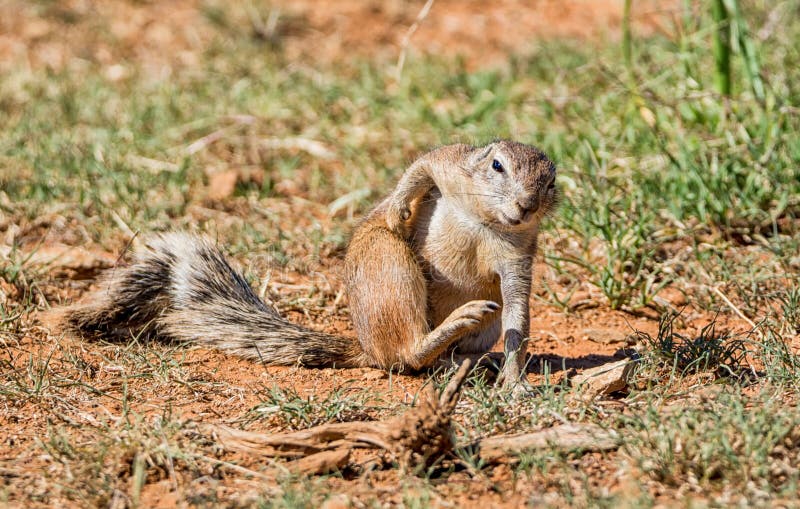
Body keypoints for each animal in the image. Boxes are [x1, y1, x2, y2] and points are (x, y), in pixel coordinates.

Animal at [61, 140, 557, 388]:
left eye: (551, 181)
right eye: (497, 166)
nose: (527, 205)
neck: (483, 221)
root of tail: (365, 347)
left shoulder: (516, 259)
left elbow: (518, 316)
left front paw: (516, 381)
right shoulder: (450, 164)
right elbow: (419, 167)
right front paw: (399, 210)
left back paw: (470, 362)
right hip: (388, 267)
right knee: (405, 356)